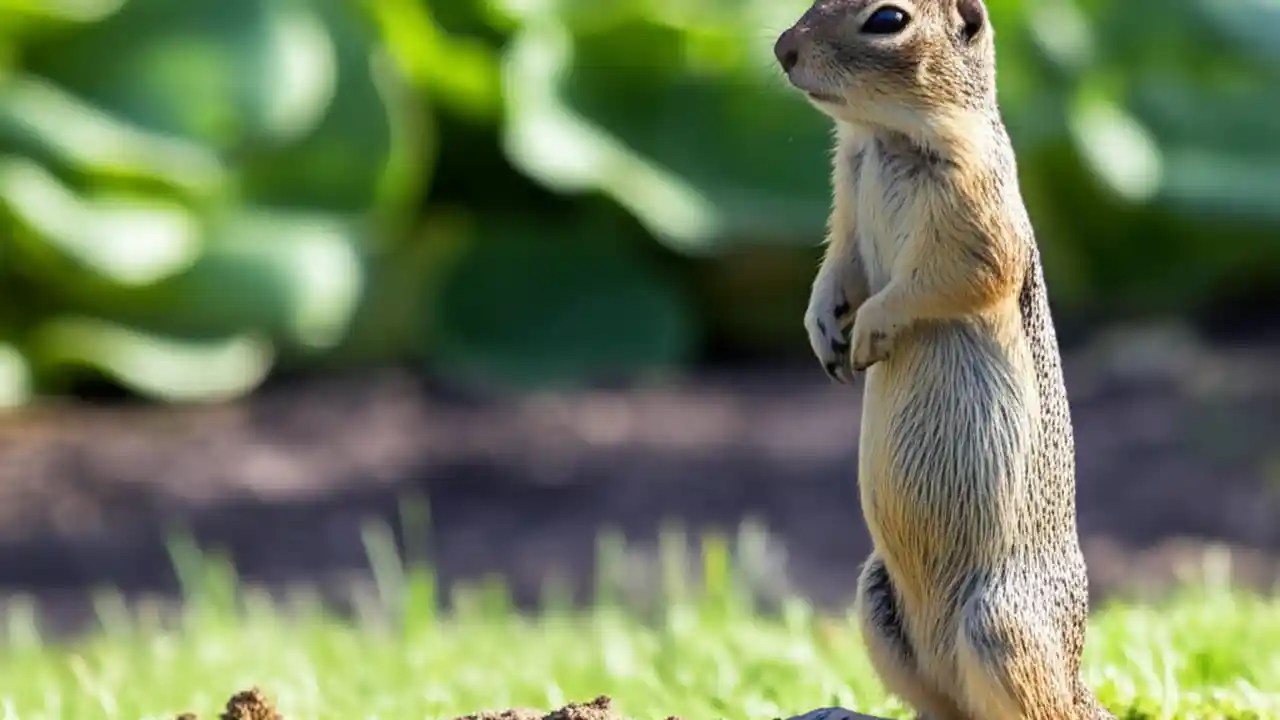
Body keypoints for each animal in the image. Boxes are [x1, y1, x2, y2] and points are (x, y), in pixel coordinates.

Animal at [773, 2, 1113, 719]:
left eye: (888, 19)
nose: (784, 49)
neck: (884, 135)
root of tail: (1077, 681)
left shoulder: (975, 218)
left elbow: (947, 281)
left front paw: (870, 330)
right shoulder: (846, 205)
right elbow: (839, 266)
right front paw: (823, 327)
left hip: (1000, 626)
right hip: (878, 600)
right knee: (943, 708)